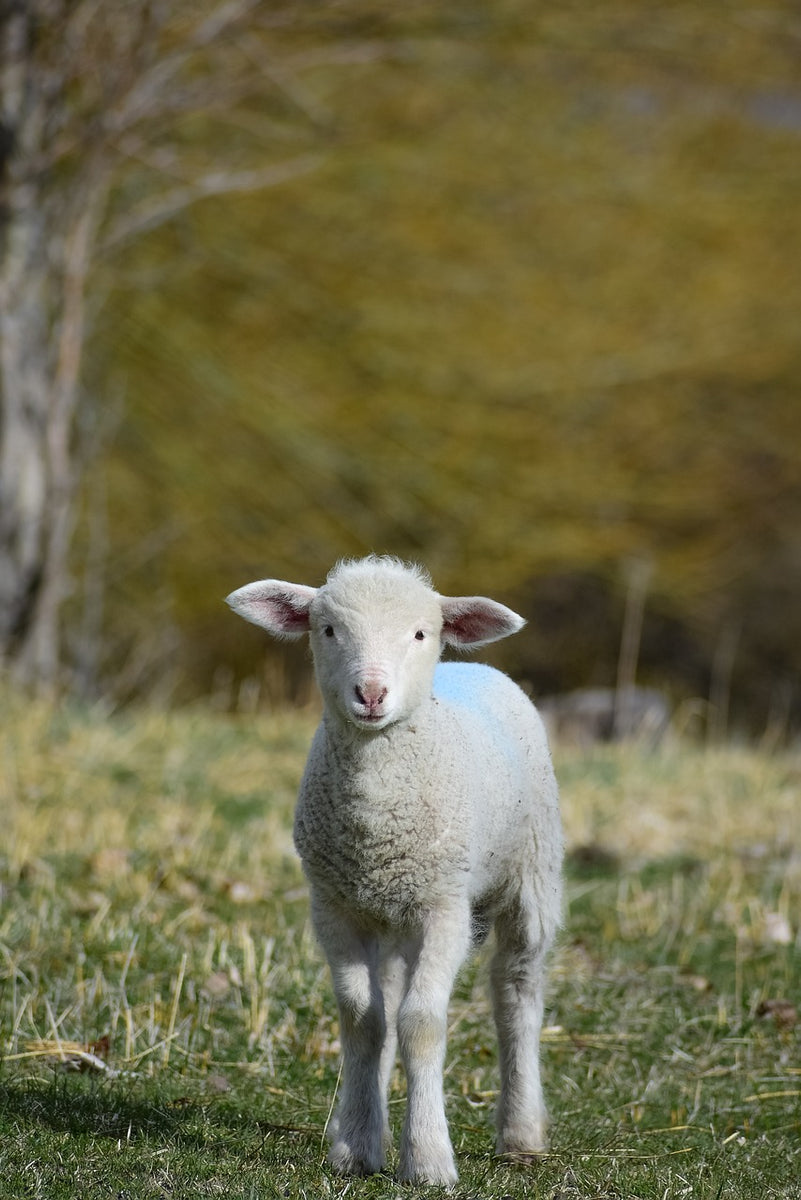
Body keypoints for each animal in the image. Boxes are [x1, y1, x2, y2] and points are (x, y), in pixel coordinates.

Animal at [226, 555, 563, 1186]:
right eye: (328, 630)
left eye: (420, 633)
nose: (371, 692)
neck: (377, 820)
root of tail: (471, 665)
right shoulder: (334, 907)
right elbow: (364, 1021)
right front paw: (356, 1146)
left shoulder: (444, 907)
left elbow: (421, 1023)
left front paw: (428, 1159)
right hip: (385, 915)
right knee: (383, 1005)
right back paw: (363, 1129)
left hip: (531, 872)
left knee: (517, 990)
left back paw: (521, 1133)